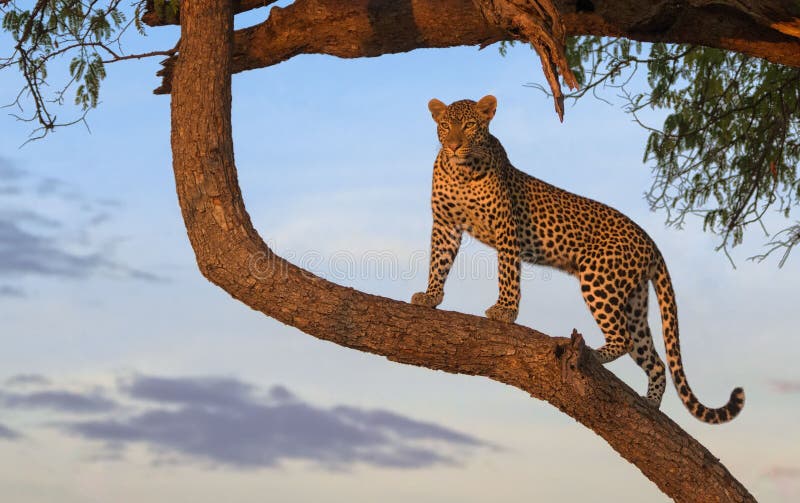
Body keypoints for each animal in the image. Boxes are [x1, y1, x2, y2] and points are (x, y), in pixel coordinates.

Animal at [410, 95, 745, 424]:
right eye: (445, 126)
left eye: (469, 125)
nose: (453, 145)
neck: (462, 172)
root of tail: (650, 242)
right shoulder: (445, 225)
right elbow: (438, 262)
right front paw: (430, 296)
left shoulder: (506, 228)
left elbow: (507, 273)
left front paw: (505, 310)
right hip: (635, 302)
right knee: (655, 359)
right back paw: (650, 405)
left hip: (600, 281)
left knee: (623, 337)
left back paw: (595, 355)